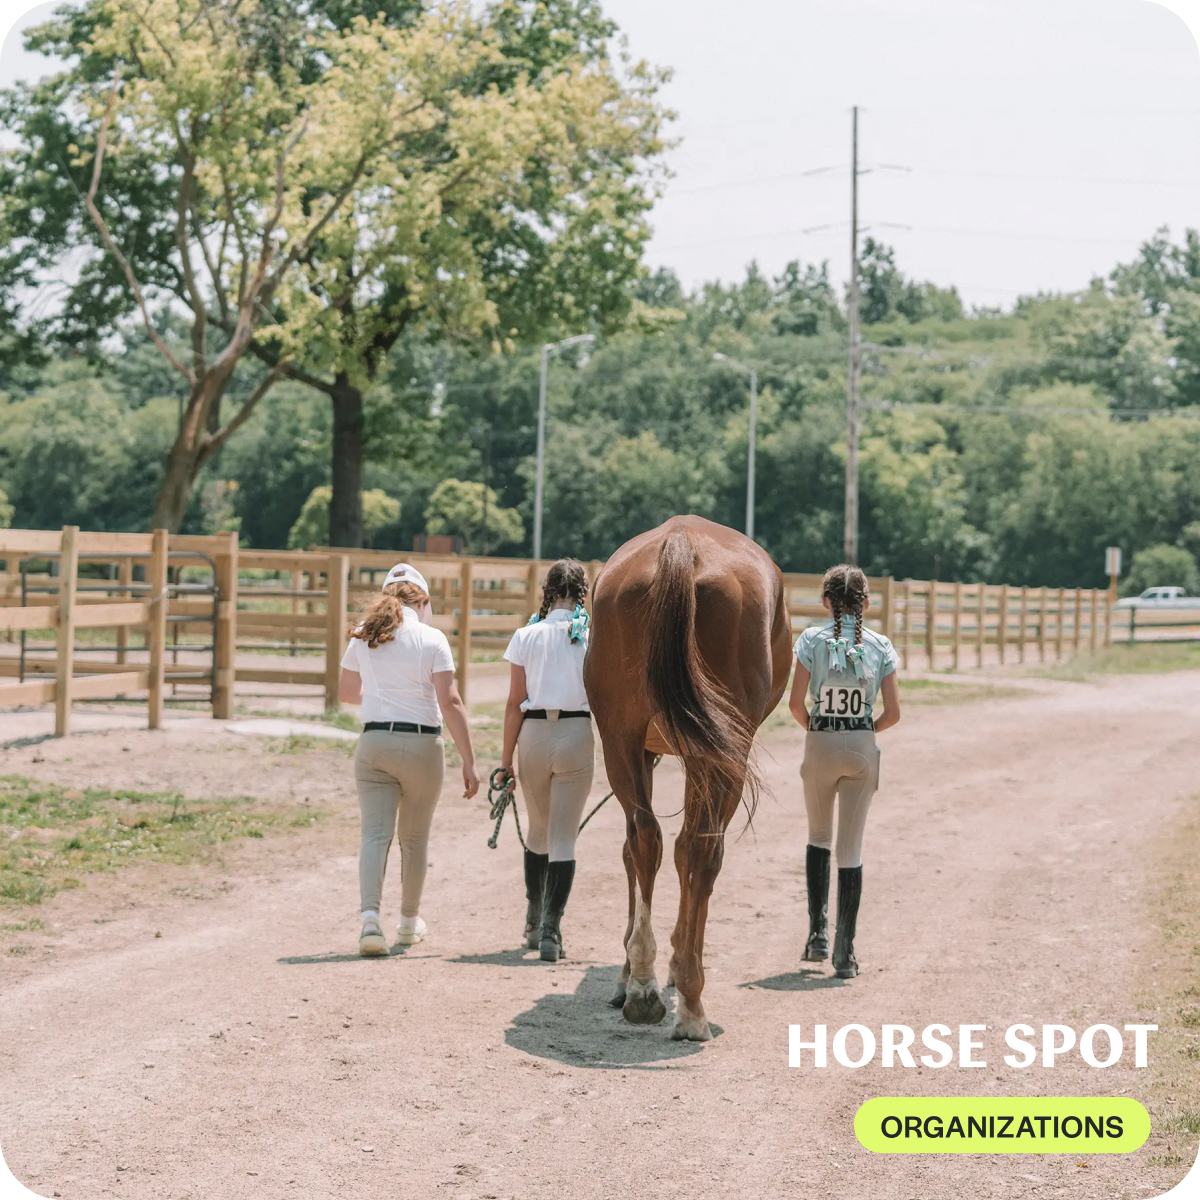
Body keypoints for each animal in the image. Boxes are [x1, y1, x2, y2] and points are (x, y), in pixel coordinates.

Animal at [583, 516, 793, 1040]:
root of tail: (682, 544)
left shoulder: (656, 752)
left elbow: (651, 852)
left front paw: (647, 971)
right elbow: (688, 855)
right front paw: (678, 966)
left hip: (621, 741)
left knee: (647, 839)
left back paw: (642, 986)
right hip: (725, 755)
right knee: (701, 850)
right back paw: (690, 1005)